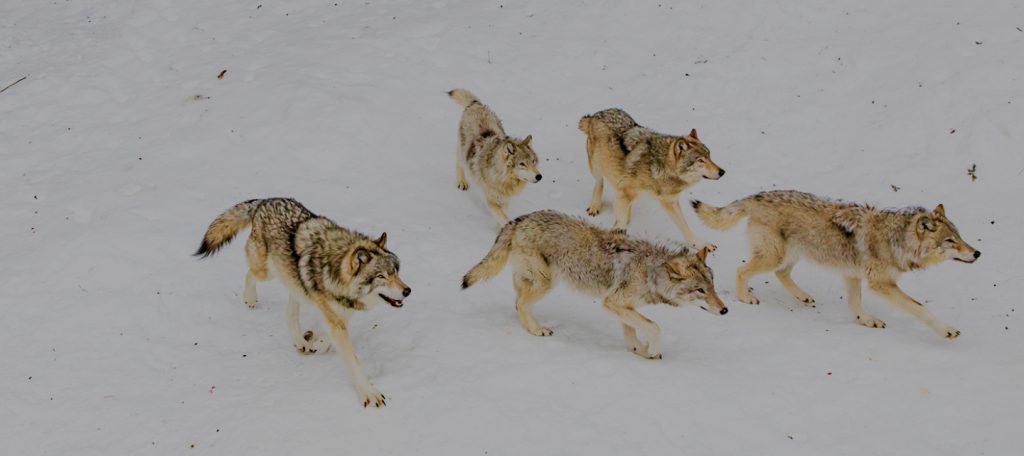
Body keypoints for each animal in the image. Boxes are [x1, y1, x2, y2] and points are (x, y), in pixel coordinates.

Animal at [195, 198, 411, 407]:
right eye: (382, 276)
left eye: (396, 272)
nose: (407, 291)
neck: (335, 273)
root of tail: (264, 201)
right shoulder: (335, 318)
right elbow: (354, 360)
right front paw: (369, 393)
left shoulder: (339, 315)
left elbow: (328, 336)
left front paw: (319, 343)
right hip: (267, 272)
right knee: (249, 275)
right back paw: (250, 299)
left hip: (294, 284)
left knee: (289, 313)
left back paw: (301, 341)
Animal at [449, 88, 542, 226]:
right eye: (522, 164)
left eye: (534, 161)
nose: (539, 176)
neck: (502, 177)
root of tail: (476, 105)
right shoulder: (491, 201)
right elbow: (505, 219)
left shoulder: (504, 199)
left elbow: (502, 216)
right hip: (462, 150)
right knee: (459, 162)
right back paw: (462, 182)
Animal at [461, 210, 727, 359]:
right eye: (700, 290)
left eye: (713, 287)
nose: (725, 310)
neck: (650, 272)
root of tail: (518, 219)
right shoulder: (612, 303)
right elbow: (654, 326)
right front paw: (651, 350)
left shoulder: (623, 306)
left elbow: (632, 331)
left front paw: (639, 351)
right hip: (546, 282)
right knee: (520, 303)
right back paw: (537, 330)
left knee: (517, 301)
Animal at [578, 108, 725, 250]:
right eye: (700, 160)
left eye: (709, 156)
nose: (722, 172)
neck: (661, 167)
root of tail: (596, 114)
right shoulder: (625, 194)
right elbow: (621, 224)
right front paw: (617, 240)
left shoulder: (670, 201)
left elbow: (685, 228)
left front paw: (701, 245)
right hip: (596, 167)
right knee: (599, 182)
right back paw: (595, 207)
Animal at [692, 190, 981, 339]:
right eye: (950, 241)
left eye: (960, 237)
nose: (977, 253)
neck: (897, 240)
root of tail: (756, 196)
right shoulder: (881, 284)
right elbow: (920, 308)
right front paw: (947, 330)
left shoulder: (852, 276)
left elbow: (855, 304)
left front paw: (866, 321)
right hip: (775, 256)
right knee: (742, 271)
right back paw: (746, 298)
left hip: (792, 255)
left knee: (781, 274)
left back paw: (803, 297)